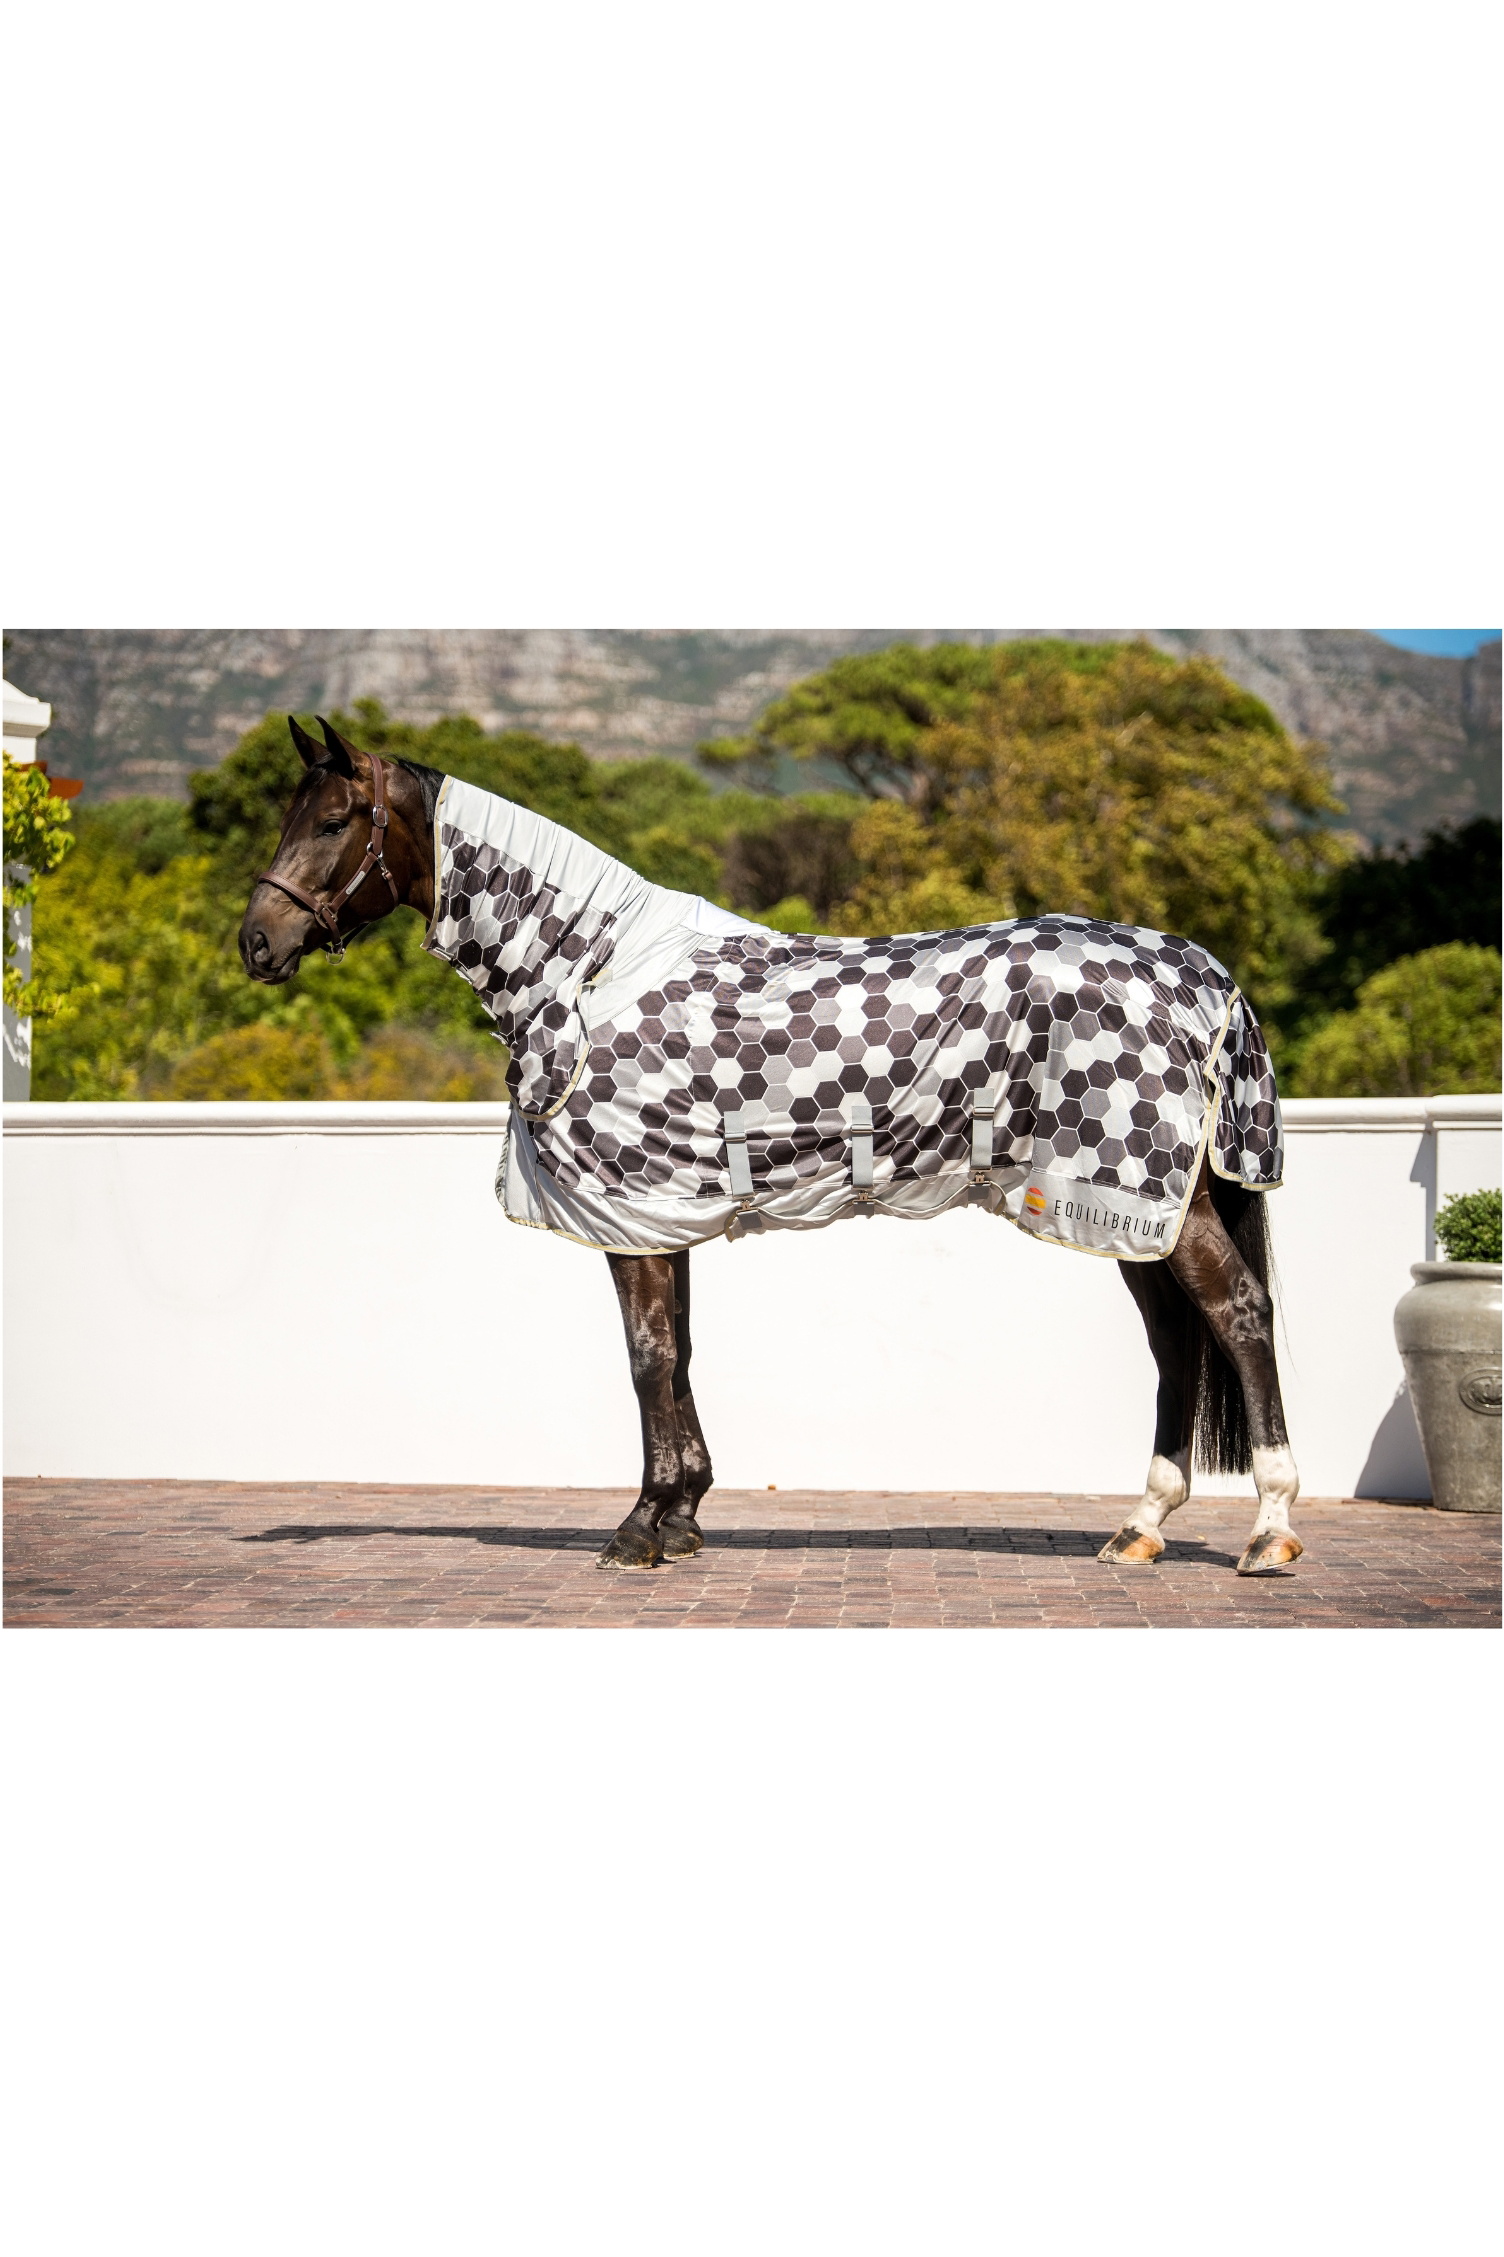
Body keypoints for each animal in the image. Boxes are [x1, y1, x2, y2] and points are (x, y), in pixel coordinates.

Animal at [239, 715, 1303, 1579]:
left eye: (335, 820)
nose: (257, 941)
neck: (592, 969)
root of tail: (1200, 976)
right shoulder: (662, 1215)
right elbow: (678, 1353)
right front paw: (681, 1514)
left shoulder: (630, 1212)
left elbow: (648, 1359)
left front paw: (639, 1530)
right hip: (1128, 1209)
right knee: (1176, 1338)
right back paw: (1141, 1526)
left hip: (1148, 1196)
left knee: (1238, 1314)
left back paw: (1270, 1530)